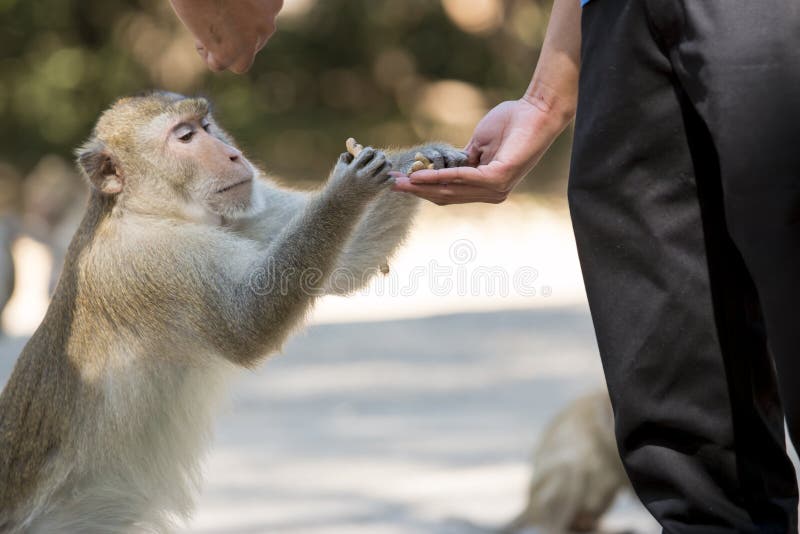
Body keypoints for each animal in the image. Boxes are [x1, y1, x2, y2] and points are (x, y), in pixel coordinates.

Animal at [0, 91, 467, 534]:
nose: (232, 154)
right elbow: (248, 326)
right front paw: (347, 190)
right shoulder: (152, 263)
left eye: (207, 126)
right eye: (185, 137)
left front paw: (423, 154)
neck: (149, 209)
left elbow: (347, 265)